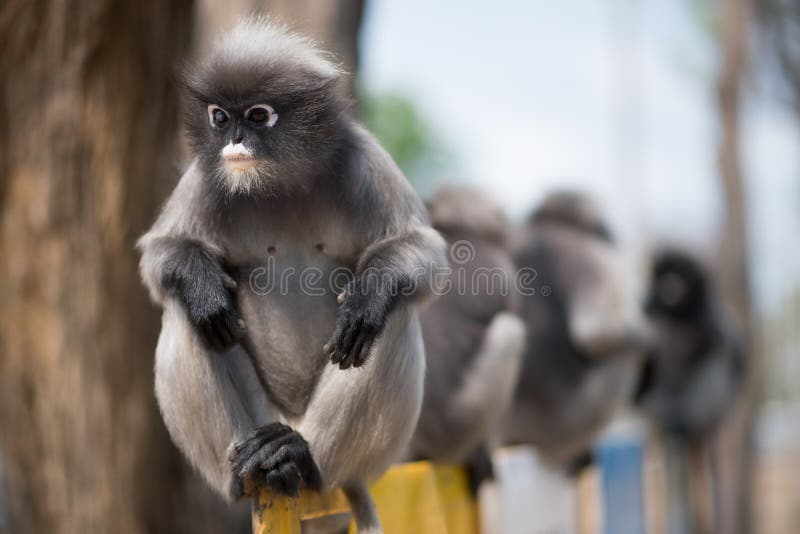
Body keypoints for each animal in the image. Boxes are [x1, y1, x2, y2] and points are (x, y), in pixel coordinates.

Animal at [137, 19, 447, 533]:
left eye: (258, 116)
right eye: (220, 118)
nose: (234, 142)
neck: (280, 181)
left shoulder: (362, 157)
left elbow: (426, 253)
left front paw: (369, 295)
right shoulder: (206, 176)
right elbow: (160, 253)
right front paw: (203, 288)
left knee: (389, 319)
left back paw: (299, 457)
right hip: (256, 420)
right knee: (187, 318)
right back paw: (251, 470)